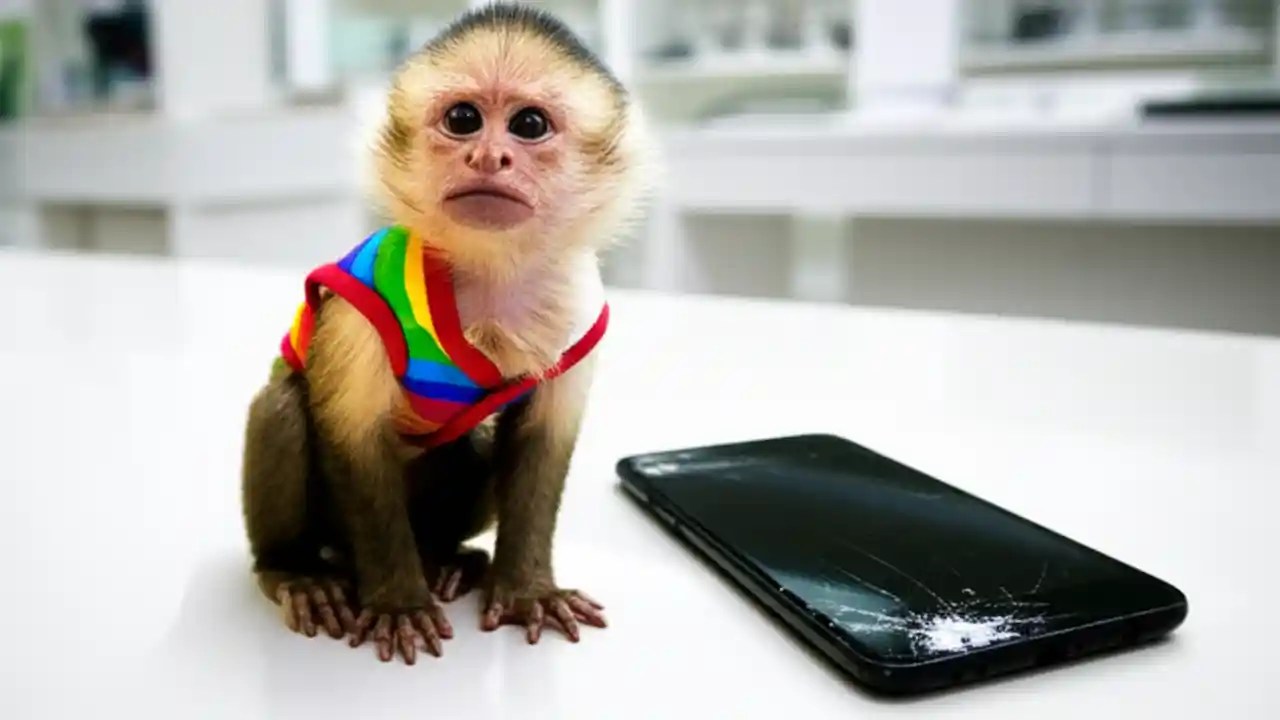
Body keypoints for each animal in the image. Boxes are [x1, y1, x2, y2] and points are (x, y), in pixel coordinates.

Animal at [239, 3, 654, 665]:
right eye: (463, 119)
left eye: (528, 125)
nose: (487, 158)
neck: (490, 269)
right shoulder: (363, 304)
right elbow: (355, 443)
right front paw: (398, 603)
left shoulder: (581, 315)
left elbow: (541, 442)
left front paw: (527, 589)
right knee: (283, 409)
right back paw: (295, 571)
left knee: (479, 445)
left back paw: (448, 559)